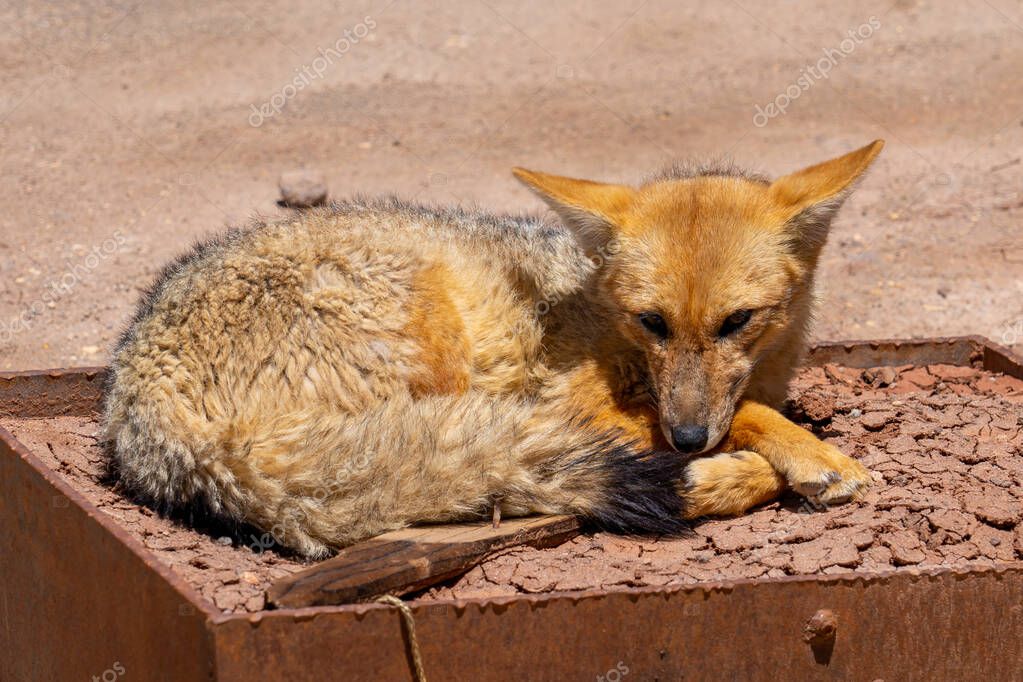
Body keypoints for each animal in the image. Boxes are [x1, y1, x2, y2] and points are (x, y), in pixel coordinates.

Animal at [102, 140, 883, 558]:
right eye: (652, 321)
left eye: (737, 320)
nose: (690, 437)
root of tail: (136, 406)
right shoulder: (576, 401)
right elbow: (746, 416)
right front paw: (811, 456)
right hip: (439, 341)